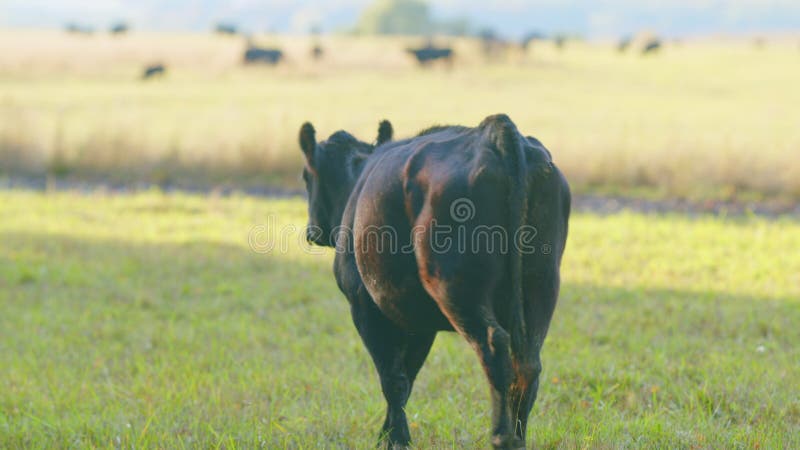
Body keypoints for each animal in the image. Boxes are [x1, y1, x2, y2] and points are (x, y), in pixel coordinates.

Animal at [298, 114, 570, 449]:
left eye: (305, 176)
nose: (312, 230)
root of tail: (496, 131)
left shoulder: (364, 305)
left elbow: (392, 379)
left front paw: (396, 439)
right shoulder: (419, 320)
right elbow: (408, 376)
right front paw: (389, 433)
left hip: (454, 284)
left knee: (494, 344)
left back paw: (501, 436)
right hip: (541, 285)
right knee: (528, 362)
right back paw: (518, 437)